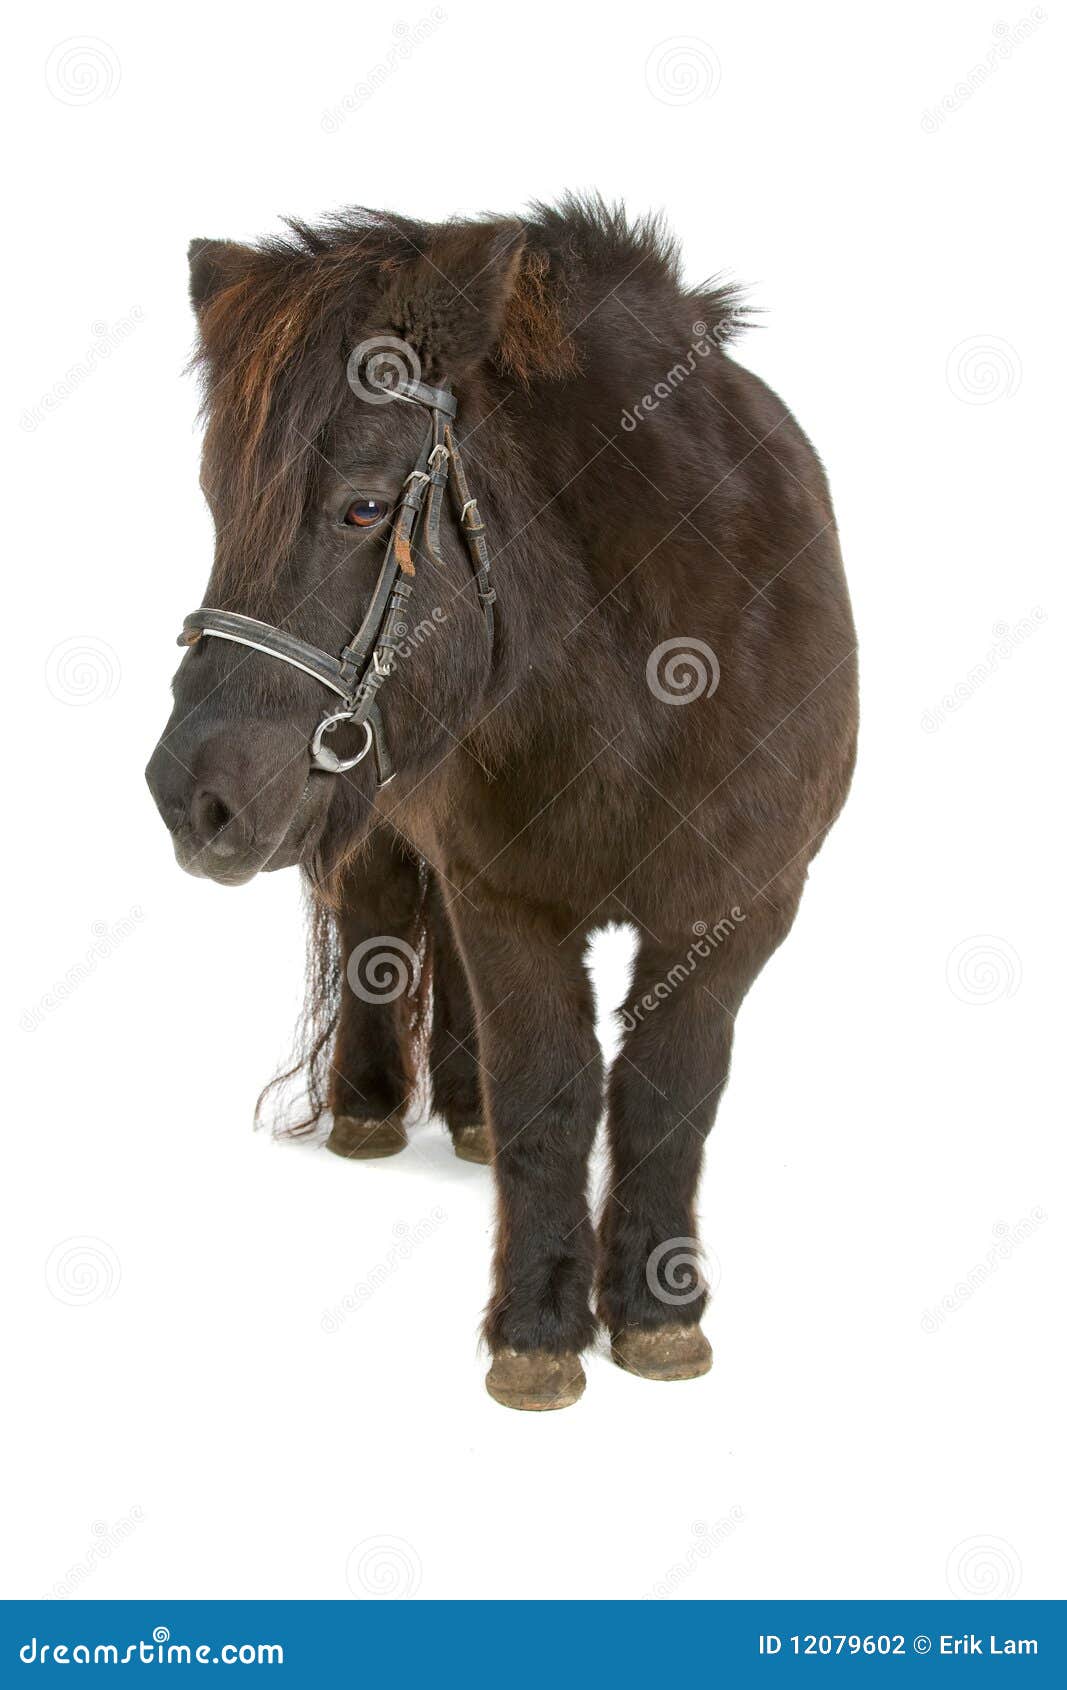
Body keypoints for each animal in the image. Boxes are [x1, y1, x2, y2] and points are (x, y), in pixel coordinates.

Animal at [145, 197, 858, 1411]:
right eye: (215, 505)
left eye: (365, 508)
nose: (188, 796)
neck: (646, 674)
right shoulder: (508, 897)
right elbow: (551, 1094)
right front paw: (538, 1328)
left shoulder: (736, 907)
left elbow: (667, 1094)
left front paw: (659, 1314)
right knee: (383, 923)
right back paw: (372, 1108)